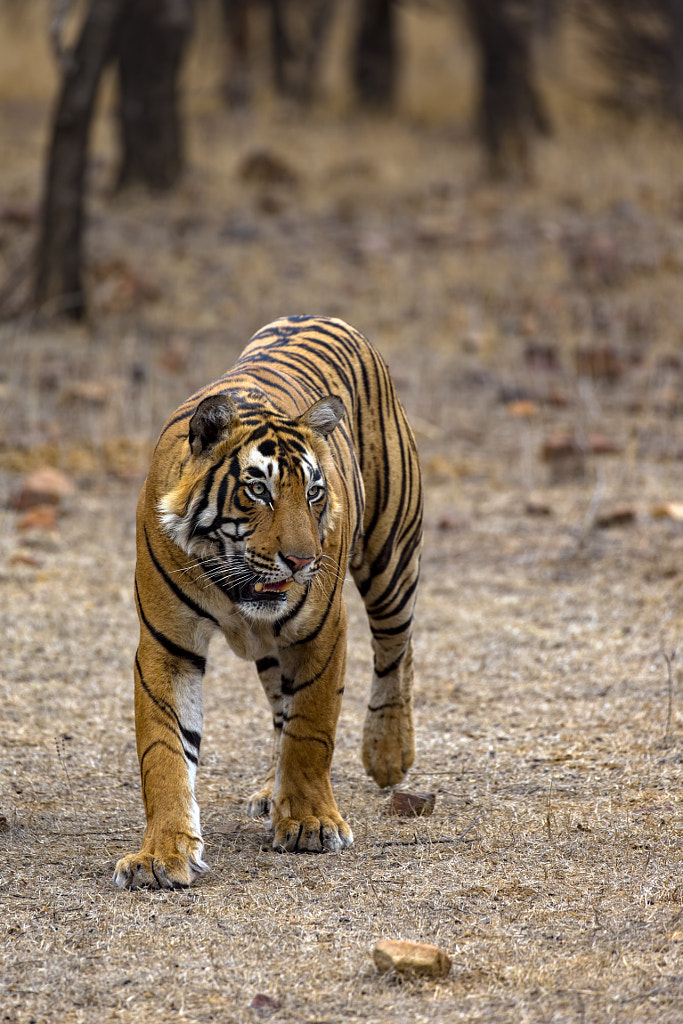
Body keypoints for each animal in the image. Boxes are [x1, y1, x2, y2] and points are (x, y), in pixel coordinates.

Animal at [113, 315, 423, 889]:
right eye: (258, 490)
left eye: (314, 493)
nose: (302, 562)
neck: (229, 581)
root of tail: (323, 315)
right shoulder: (167, 647)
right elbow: (164, 752)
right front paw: (160, 854)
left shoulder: (323, 632)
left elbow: (312, 729)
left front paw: (310, 823)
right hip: (273, 649)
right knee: (282, 707)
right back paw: (269, 790)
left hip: (390, 558)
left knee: (397, 651)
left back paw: (388, 752)